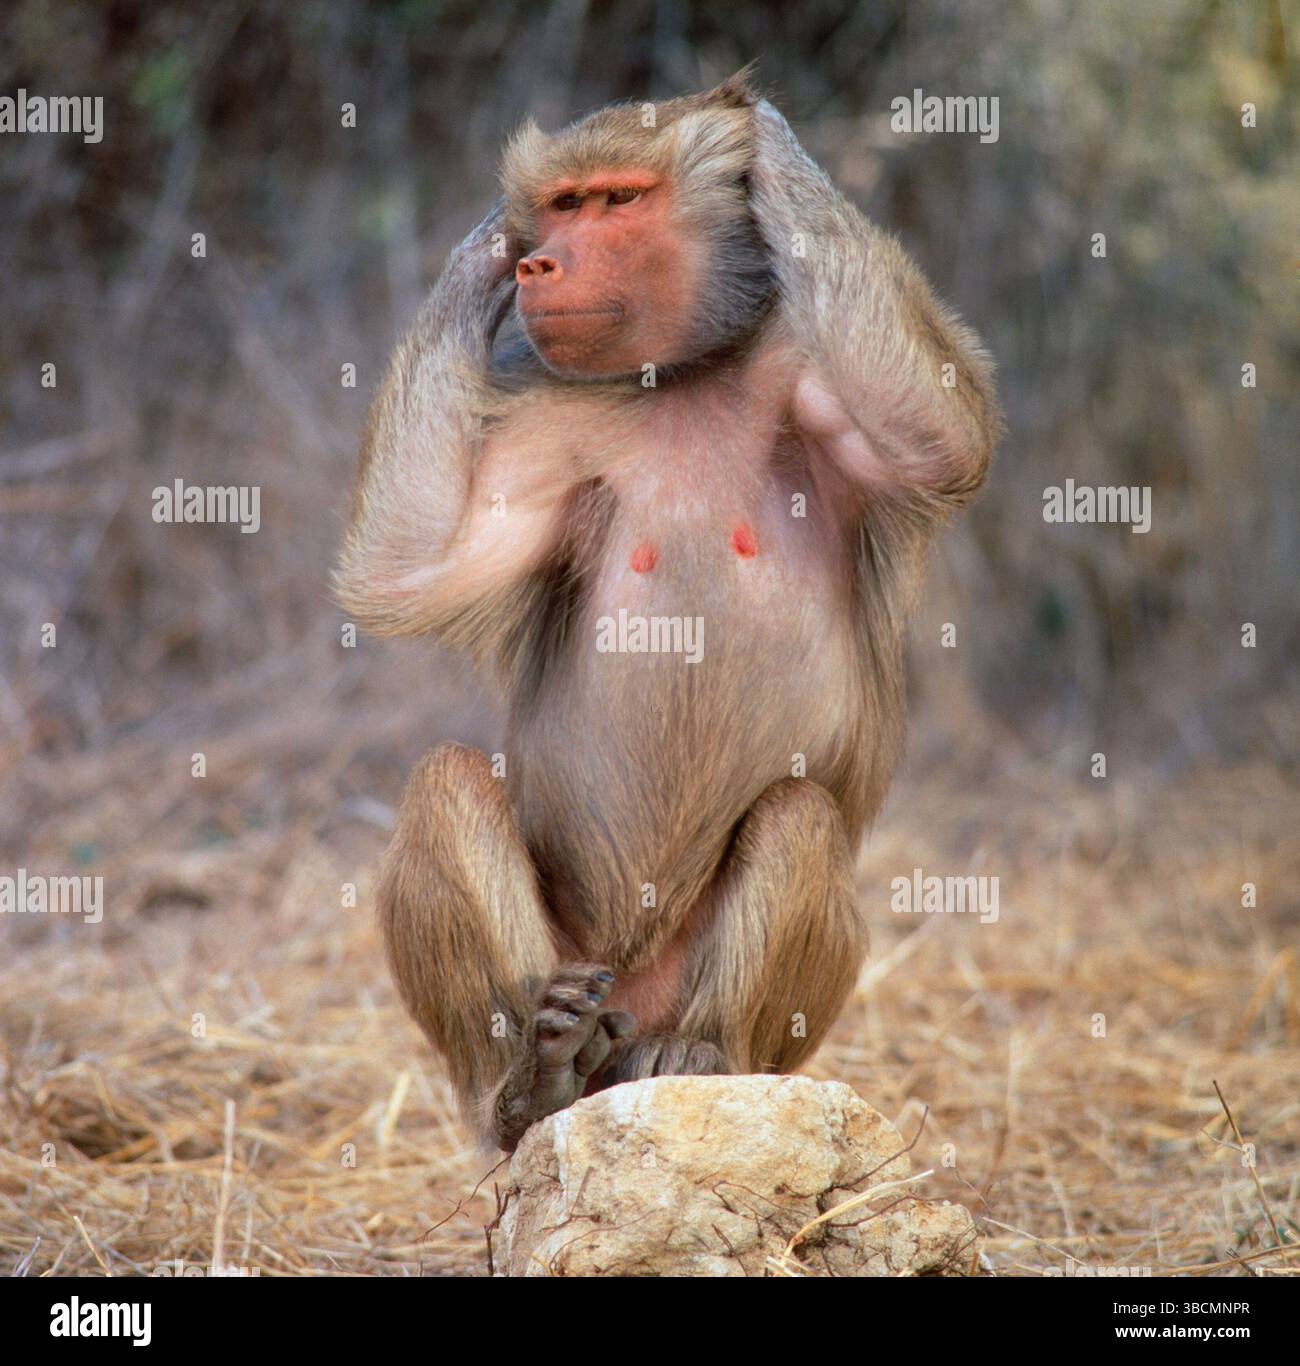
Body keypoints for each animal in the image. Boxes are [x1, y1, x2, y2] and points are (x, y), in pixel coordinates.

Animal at [335, 71, 999, 1152]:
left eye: (617, 201)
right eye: (564, 205)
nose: (541, 262)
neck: (681, 377)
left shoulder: (816, 381)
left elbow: (942, 434)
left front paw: (766, 133)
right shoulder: (549, 423)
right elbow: (405, 572)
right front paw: (481, 246)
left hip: (743, 1024)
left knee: (799, 813)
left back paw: (699, 1048)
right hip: (577, 964)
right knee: (445, 781)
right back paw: (535, 1074)